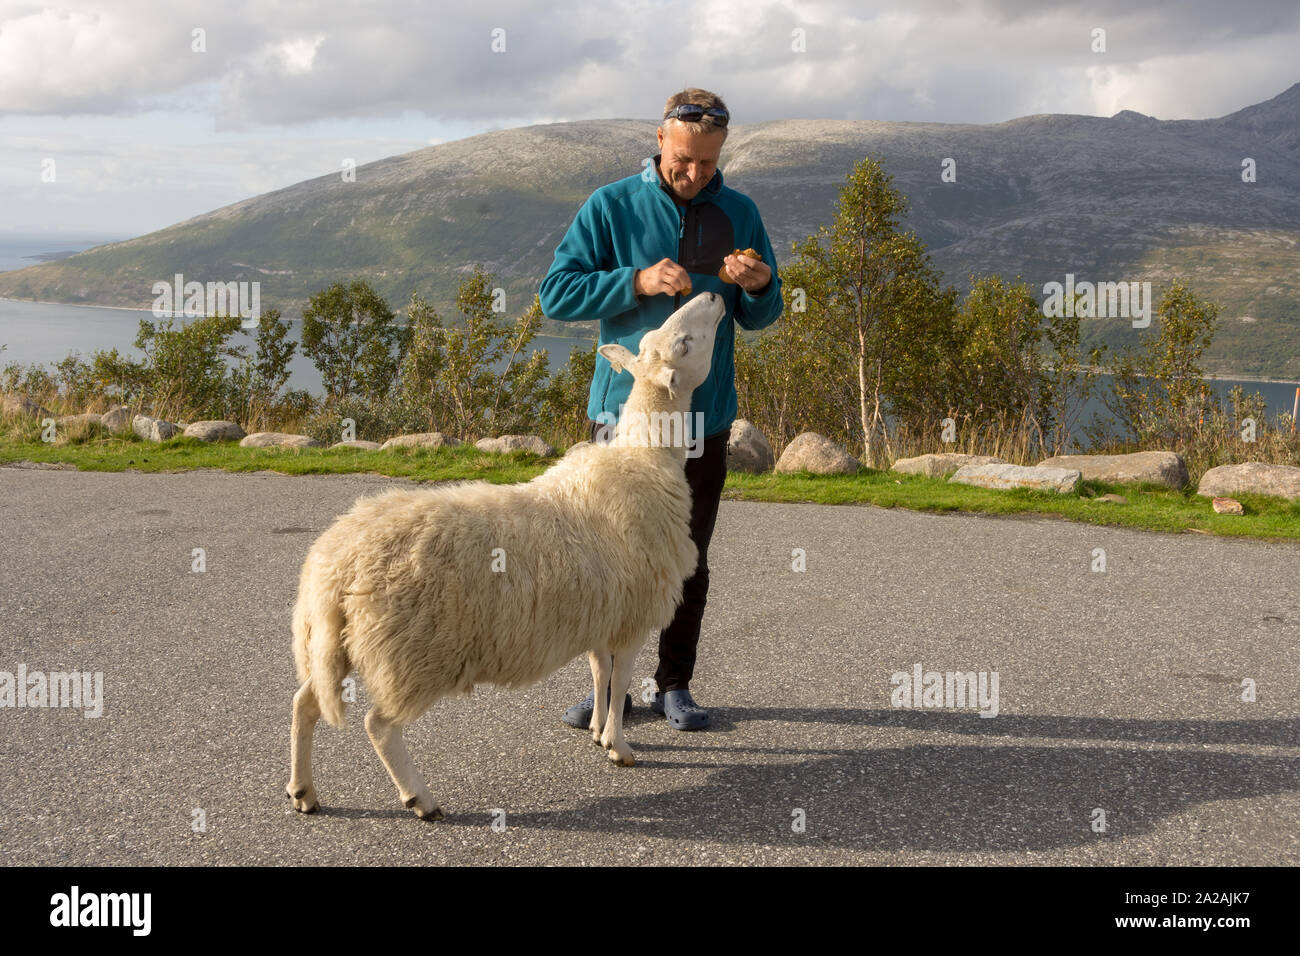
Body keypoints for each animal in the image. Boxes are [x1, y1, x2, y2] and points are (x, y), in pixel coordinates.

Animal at [286, 292, 727, 819]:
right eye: (684, 343)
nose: (714, 295)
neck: (644, 457)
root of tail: (334, 567)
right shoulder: (633, 616)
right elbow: (620, 680)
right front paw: (619, 747)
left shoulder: (603, 609)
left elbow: (599, 671)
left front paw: (597, 731)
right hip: (413, 652)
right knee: (380, 725)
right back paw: (420, 798)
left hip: (333, 643)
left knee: (304, 703)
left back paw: (303, 791)